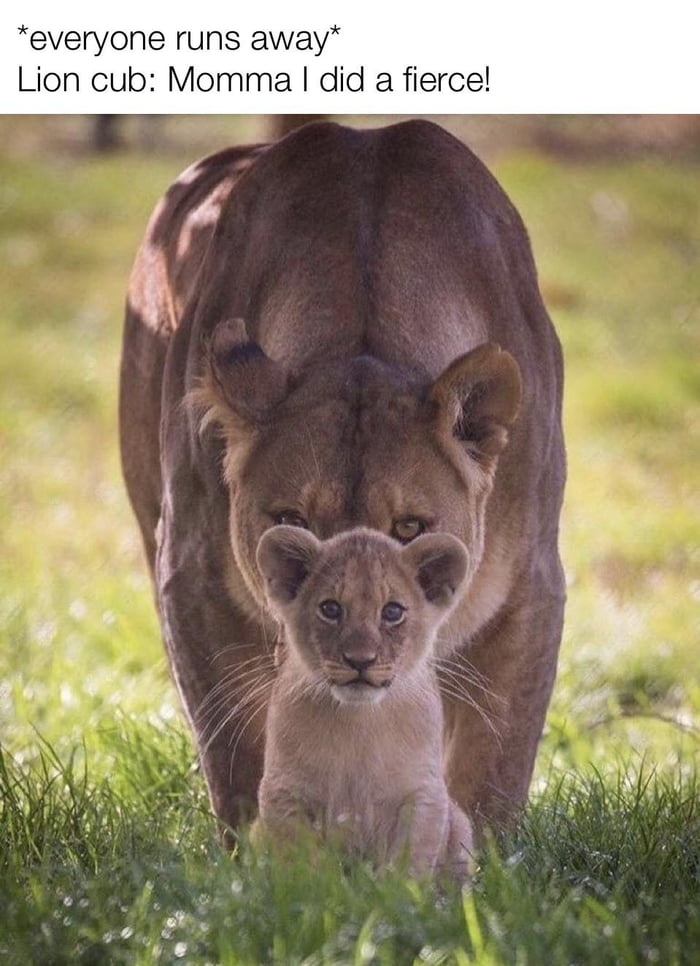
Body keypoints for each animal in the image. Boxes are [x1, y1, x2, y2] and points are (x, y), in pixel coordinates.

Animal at [119, 119, 566, 839]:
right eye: (291, 522)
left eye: (409, 527)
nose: (354, 639)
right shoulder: (190, 575)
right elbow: (238, 752)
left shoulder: (529, 586)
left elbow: (495, 765)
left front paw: (475, 861)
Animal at [253, 524, 473, 876]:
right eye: (330, 609)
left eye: (392, 612)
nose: (360, 660)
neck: (358, 720)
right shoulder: (283, 791)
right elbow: (302, 862)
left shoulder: (422, 794)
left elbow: (408, 863)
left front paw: (398, 889)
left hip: (461, 826)